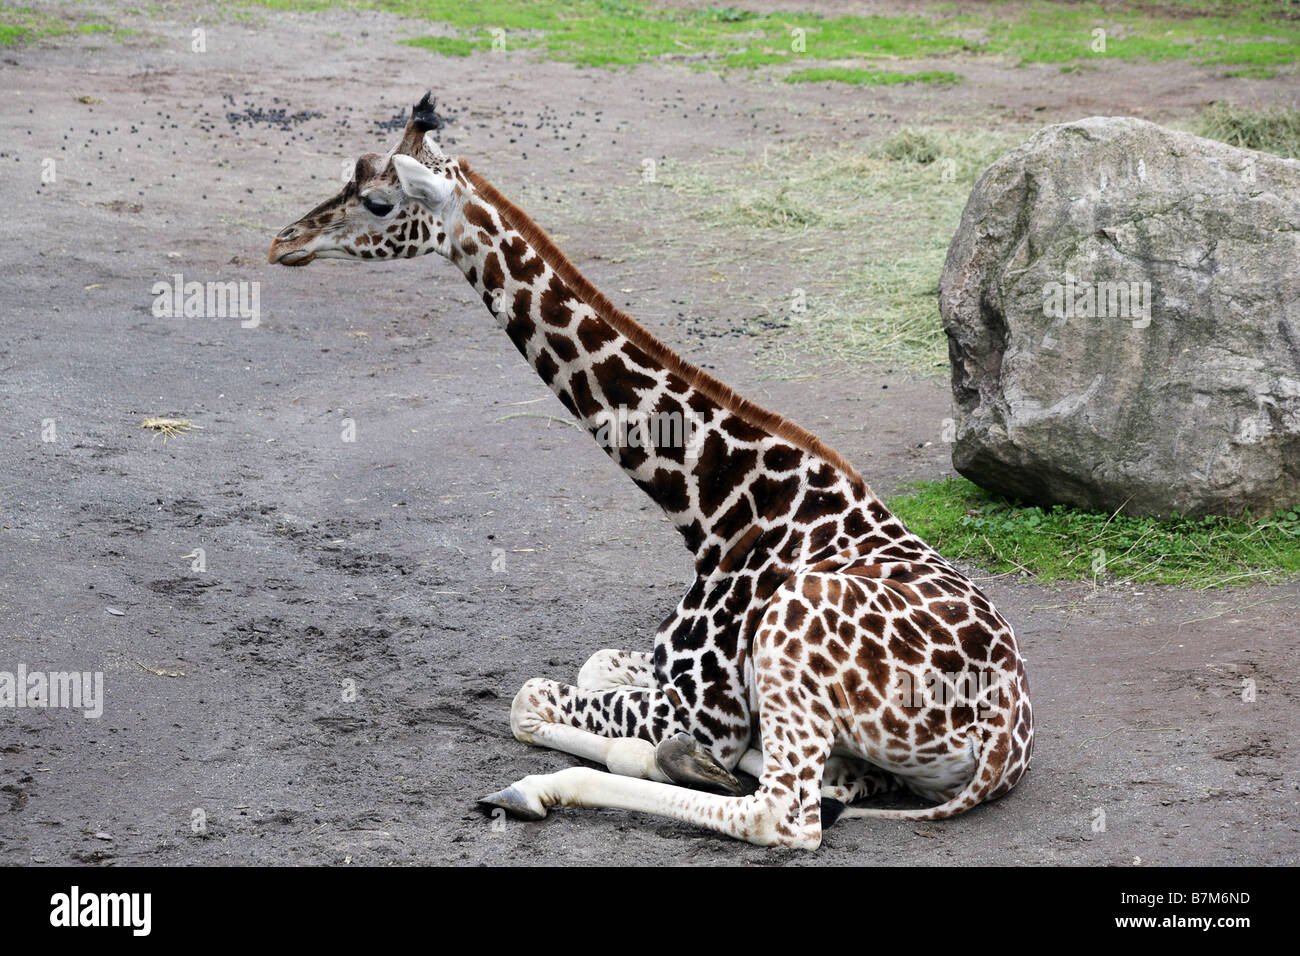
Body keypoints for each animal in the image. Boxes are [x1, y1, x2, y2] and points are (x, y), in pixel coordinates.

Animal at [268, 94, 1034, 848]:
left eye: (377, 203)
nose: (283, 242)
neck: (714, 507)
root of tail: (1004, 743)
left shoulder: (704, 707)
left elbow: (529, 696)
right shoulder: (666, 673)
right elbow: (593, 663)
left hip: (792, 633)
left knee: (782, 812)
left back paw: (548, 787)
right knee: (828, 782)